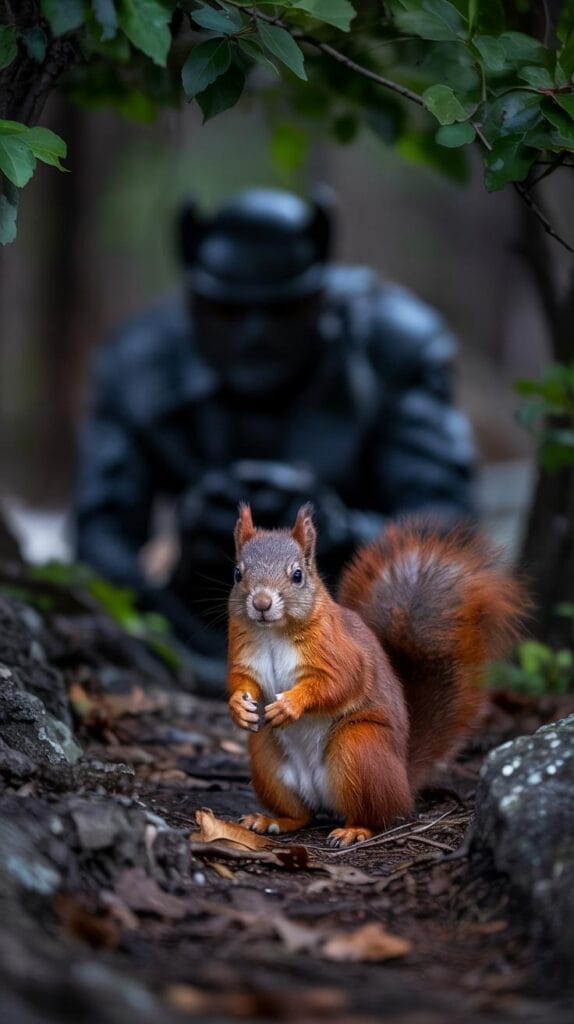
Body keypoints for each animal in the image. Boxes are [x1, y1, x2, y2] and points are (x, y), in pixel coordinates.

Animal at [227, 503, 525, 848]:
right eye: (237, 573)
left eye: (298, 575)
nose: (261, 603)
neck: (273, 633)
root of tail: (403, 782)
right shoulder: (243, 655)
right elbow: (240, 681)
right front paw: (238, 707)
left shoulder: (342, 653)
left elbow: (339, 683)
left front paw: (290, 705)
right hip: (267, 758)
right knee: (302, 815)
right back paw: (272, 820)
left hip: (360, 747)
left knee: (378, 816)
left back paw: (355, 830)